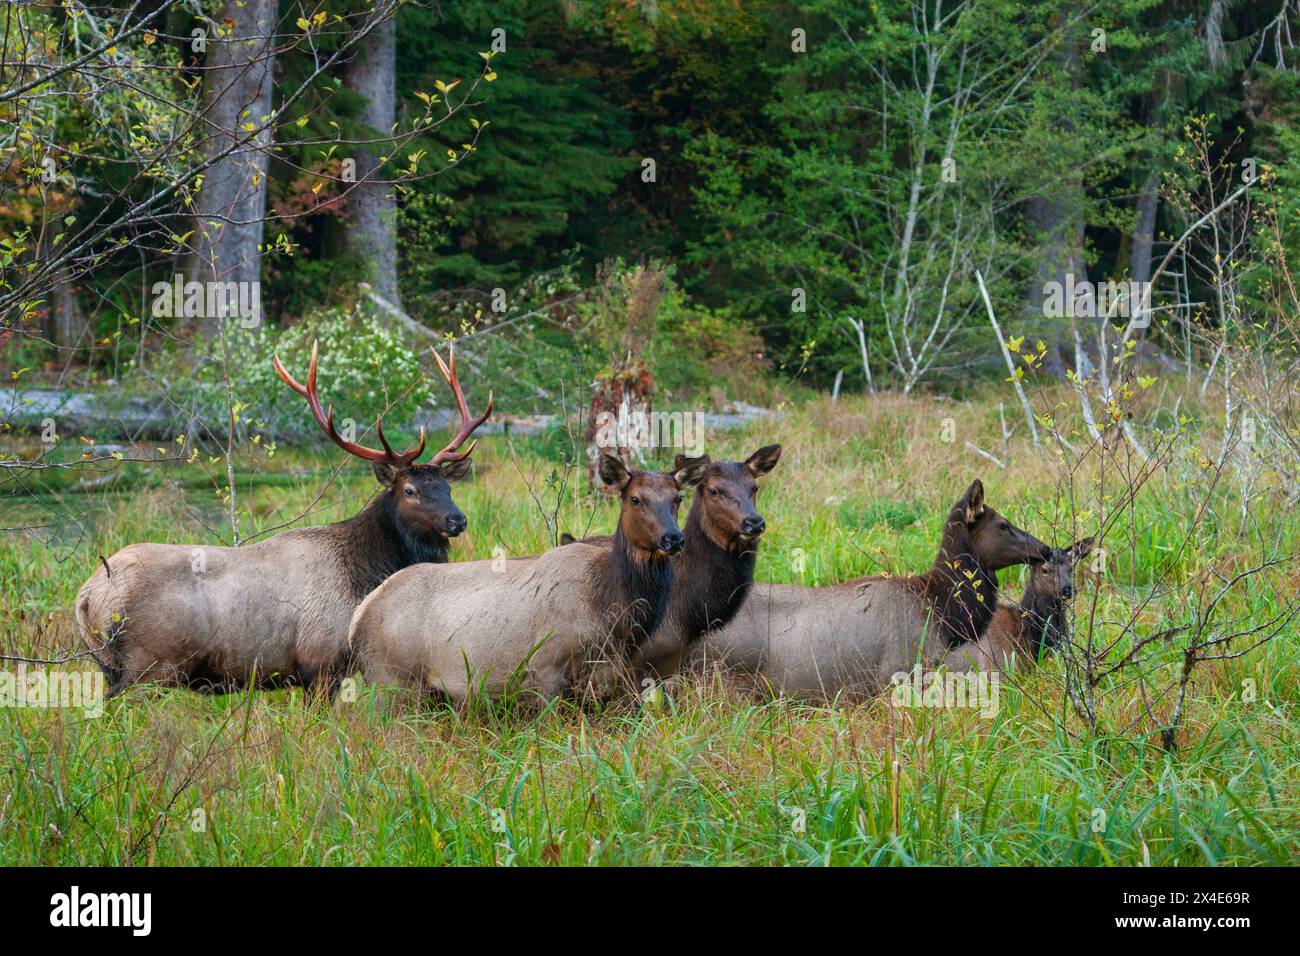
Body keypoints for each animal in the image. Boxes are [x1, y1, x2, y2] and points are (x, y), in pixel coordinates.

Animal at [74, 342, 492, 696]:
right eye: (409, 491)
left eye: (447, 487)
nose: (457, 520)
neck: (365, 579)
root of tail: (87, 595)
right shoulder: (321, 661)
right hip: (149, 665)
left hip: (110, 666)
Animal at [347, 454, 710, 704]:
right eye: (635, 499)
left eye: (677, 499)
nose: (673, 538)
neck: (610, 609)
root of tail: (359, 617)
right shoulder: (543, 668)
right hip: (392, 679)